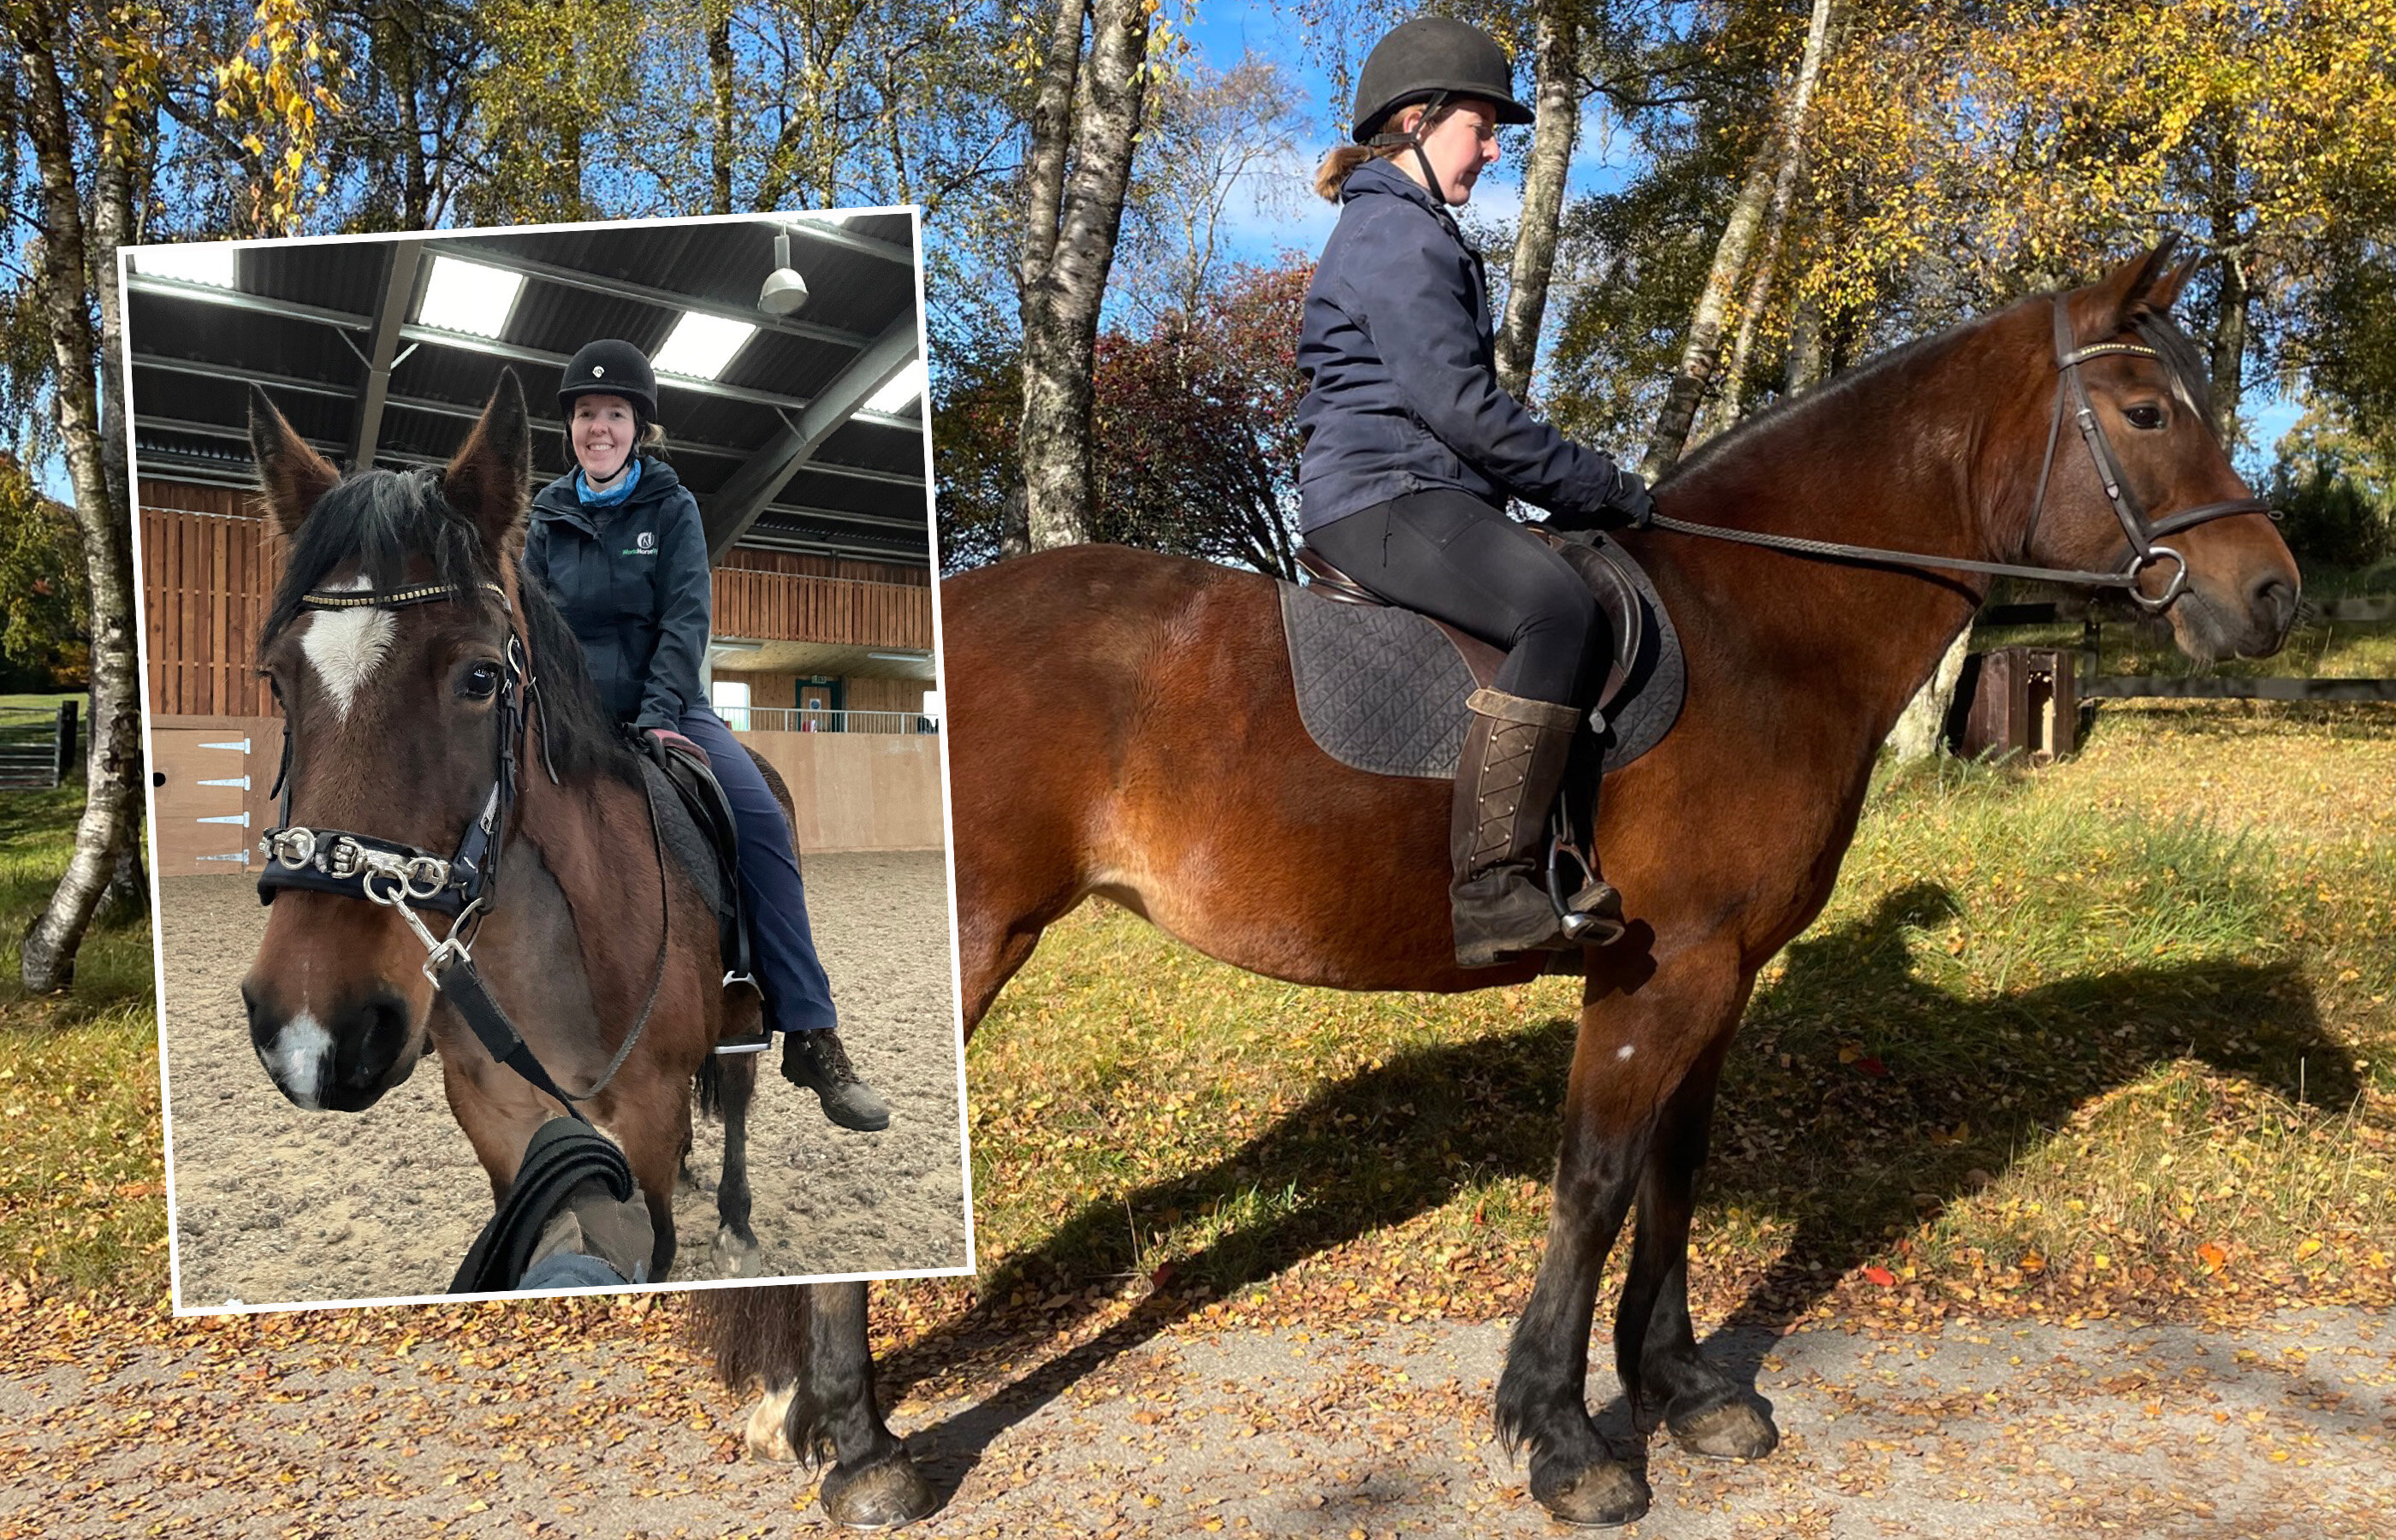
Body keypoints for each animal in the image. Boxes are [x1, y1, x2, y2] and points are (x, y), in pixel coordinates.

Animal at [239, 374, 770, 1287]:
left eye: (483, 678)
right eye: (278, 681)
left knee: (735, 1094)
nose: (311, 1029)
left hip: (742, 1015)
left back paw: (735, 1215)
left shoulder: (650, 1115)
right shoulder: (496, 1111)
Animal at [915, 246, 2299, 1525]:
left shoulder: (1723, 973)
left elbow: (1671, 1173)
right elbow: (1593, 1187)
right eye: (2147, 412)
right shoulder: (1655, 974)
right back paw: (878, 1461)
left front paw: (1681, 1388)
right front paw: (1561, 1437)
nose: (2271, 594)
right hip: (969, 942)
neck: (1762, 622)